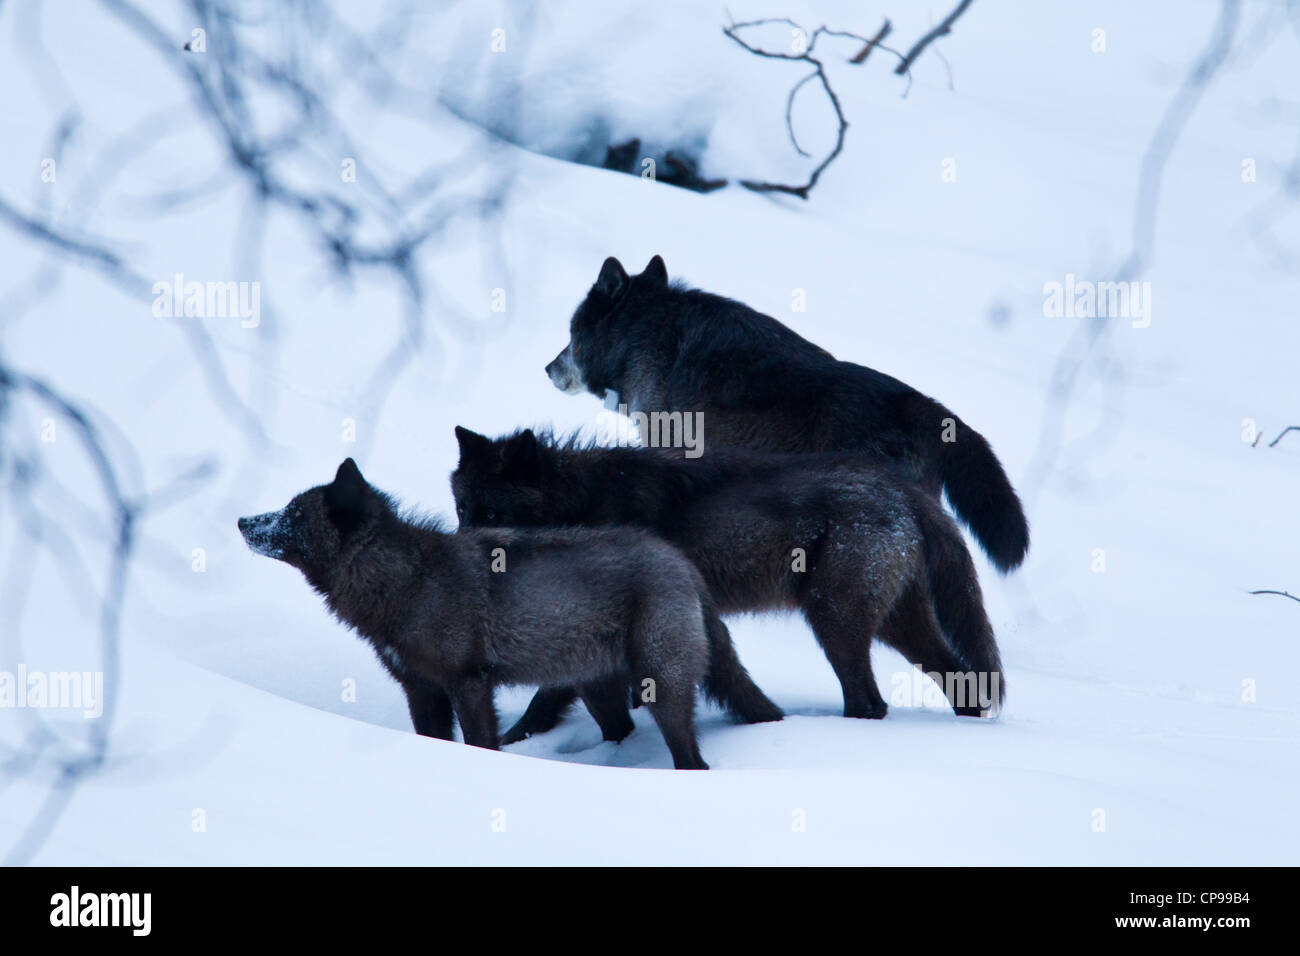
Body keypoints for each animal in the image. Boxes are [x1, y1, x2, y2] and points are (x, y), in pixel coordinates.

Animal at [237, 458, 779, 770]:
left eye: (293, 515)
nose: (242, 520)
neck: (408, 581)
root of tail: (680, 562)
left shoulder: (470, 685)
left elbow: (481, 744)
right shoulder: (422, 690)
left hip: (659, 688)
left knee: (693, 762)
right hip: (597, 689)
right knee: (621, 732)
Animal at [452, 427, 1003, 744]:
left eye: (493, 515)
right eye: (462, 510)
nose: (460, 556)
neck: (580, 502)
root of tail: (903, 491)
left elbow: (545, 699)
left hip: (835, 622)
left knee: (869, 702)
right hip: (896, 628)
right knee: (961, 679)